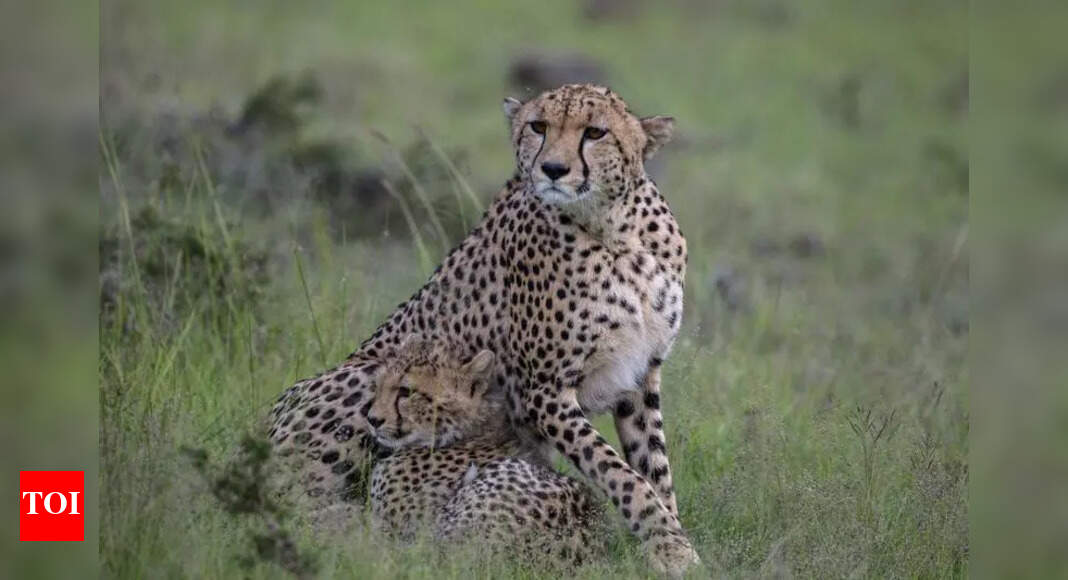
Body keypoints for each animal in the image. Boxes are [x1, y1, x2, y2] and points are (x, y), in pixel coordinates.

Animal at [268, 83, 697, 575]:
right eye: (538, 126)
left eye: (595, 132)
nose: (553, 169)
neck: (617, 231)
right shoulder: (544, 391)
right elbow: (617, 472)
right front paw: (671, 546)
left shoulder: (640, 375)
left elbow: (654, 469)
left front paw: (668, 539)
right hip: (354, 389)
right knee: (297, 503)